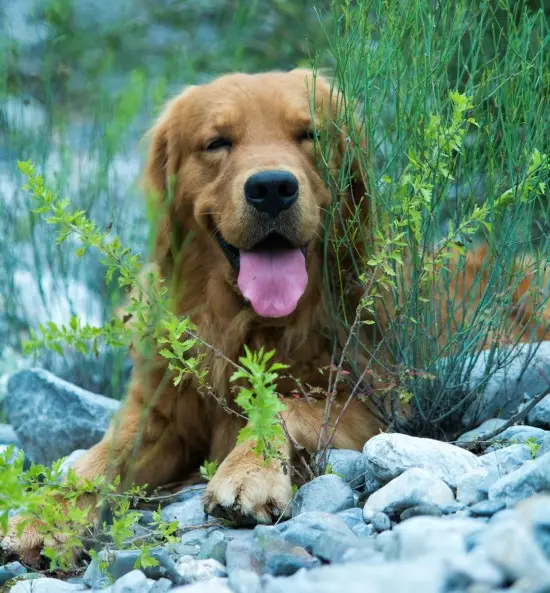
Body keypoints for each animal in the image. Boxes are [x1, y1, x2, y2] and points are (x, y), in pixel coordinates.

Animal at [4, 68, 550, 560]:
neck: (243, 324)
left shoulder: (371, 403)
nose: (271, 188)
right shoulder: (158, 409)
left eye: (309, 135)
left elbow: (283, 405)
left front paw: (249, 469)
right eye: (216, 143)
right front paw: (45, 513)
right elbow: (98, 456)